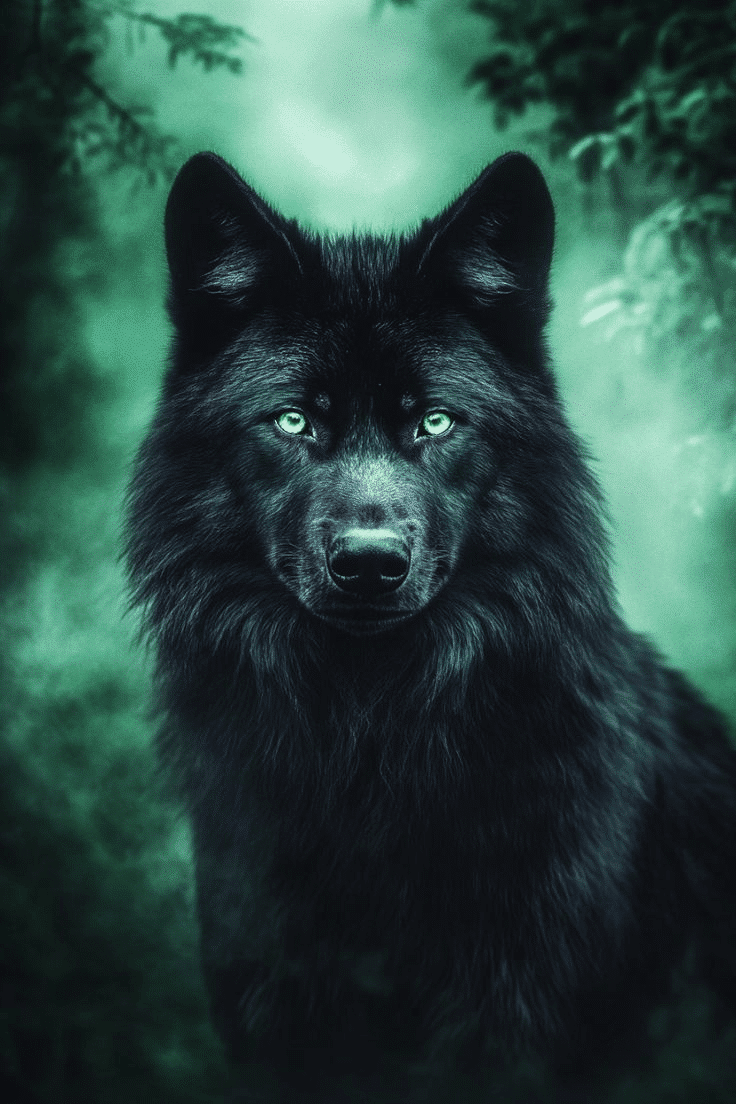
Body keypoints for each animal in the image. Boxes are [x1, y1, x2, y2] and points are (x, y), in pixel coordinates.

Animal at [126, 151, 736, 1102]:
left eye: (435, 420)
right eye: (295, 419)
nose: (370, 562)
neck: (371, 735)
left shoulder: (515, 1009)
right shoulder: (271, 985)